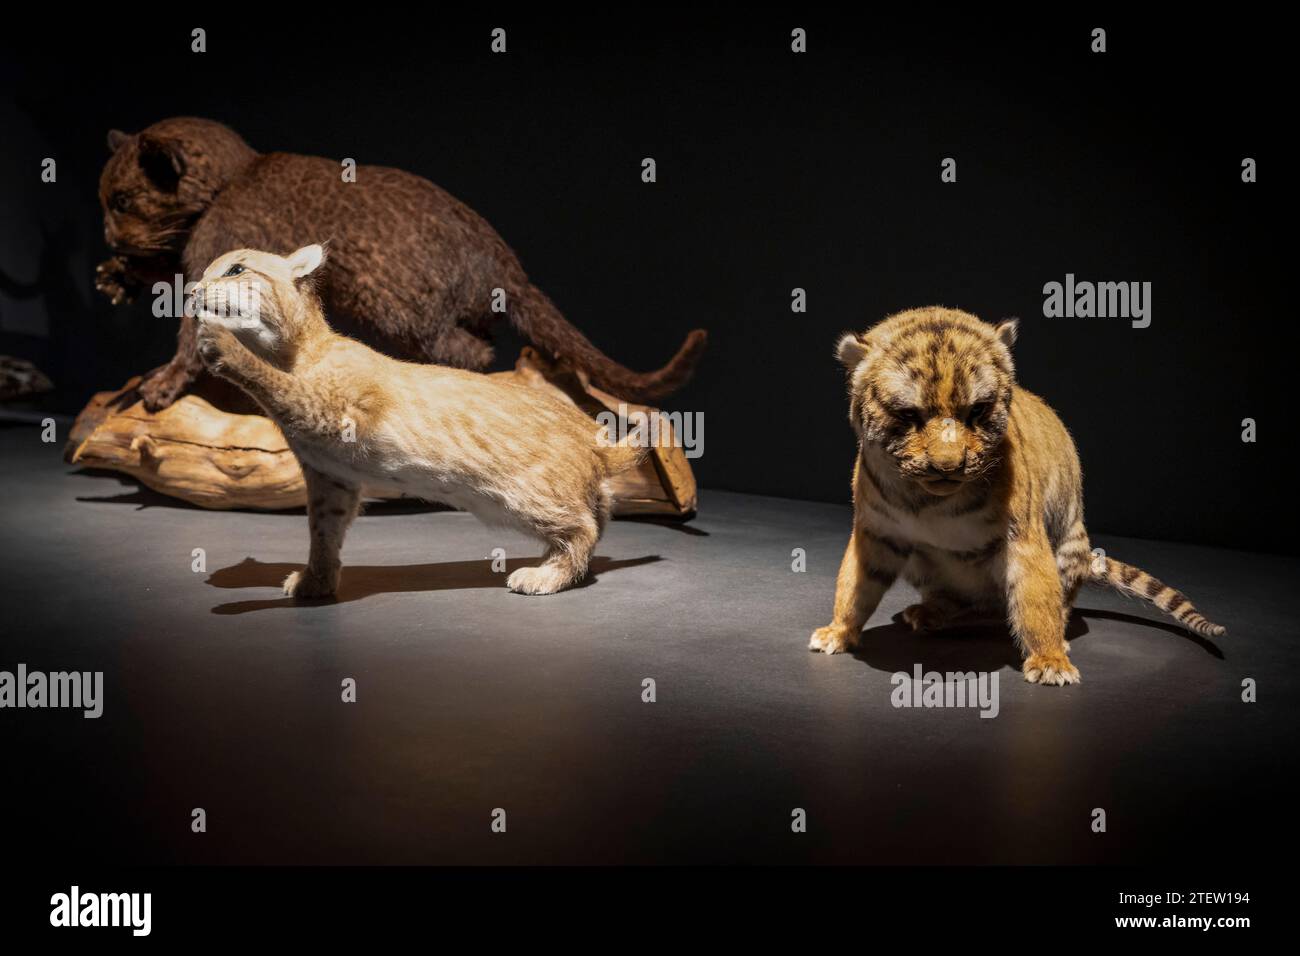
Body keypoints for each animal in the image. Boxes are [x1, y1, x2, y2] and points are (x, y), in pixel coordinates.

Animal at [809, 306, 1225, 686]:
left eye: (977, 410)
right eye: (909, 414)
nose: (947, 466)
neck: (932, 501)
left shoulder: (1022, 538)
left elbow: (1036, 600)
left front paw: (1051, 662)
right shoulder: (875, 534)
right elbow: (854, 586)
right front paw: (838, 632)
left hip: (1068, 545)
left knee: (1046, 605)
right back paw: (928, 614)